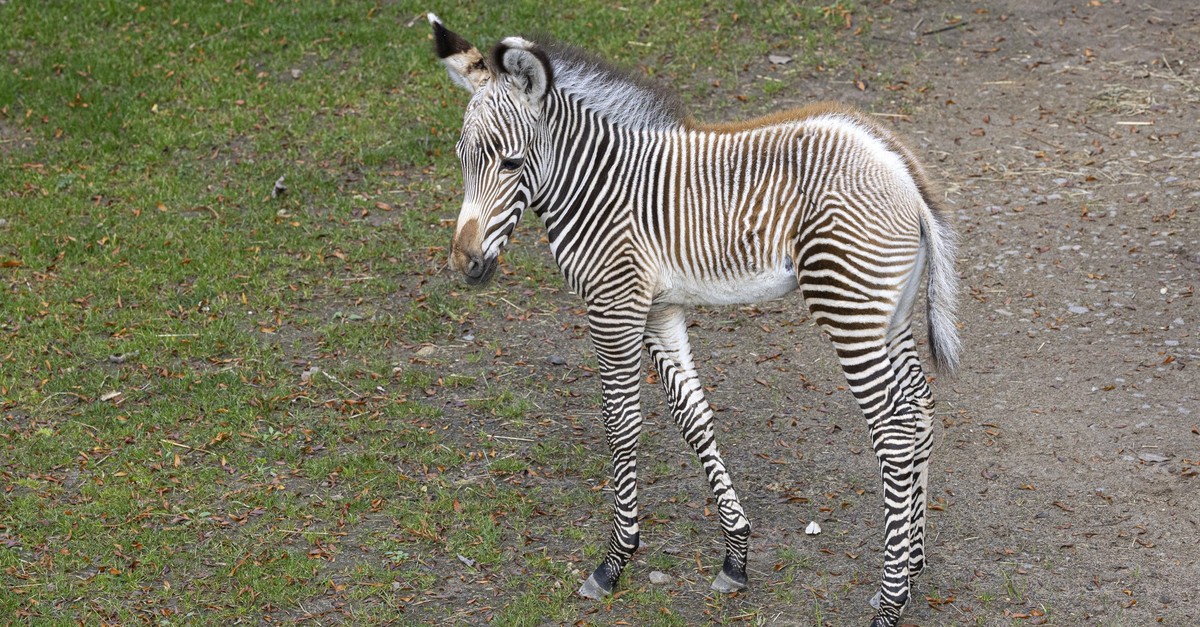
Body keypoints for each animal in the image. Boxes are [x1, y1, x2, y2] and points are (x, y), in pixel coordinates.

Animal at [428, 14, 960, 627]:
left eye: (511, 162)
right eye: (462, 158)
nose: (464, 265)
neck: (597, 187)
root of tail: (897, 161)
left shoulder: (613, 306)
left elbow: (621, 425)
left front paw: (614, 564)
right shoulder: (659, 308)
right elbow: (694, 418)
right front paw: (736, 558)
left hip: (847, 308)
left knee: (893, 431)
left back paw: (891, 600)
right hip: (886, 312)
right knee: (919, 409)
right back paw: (912, 572)